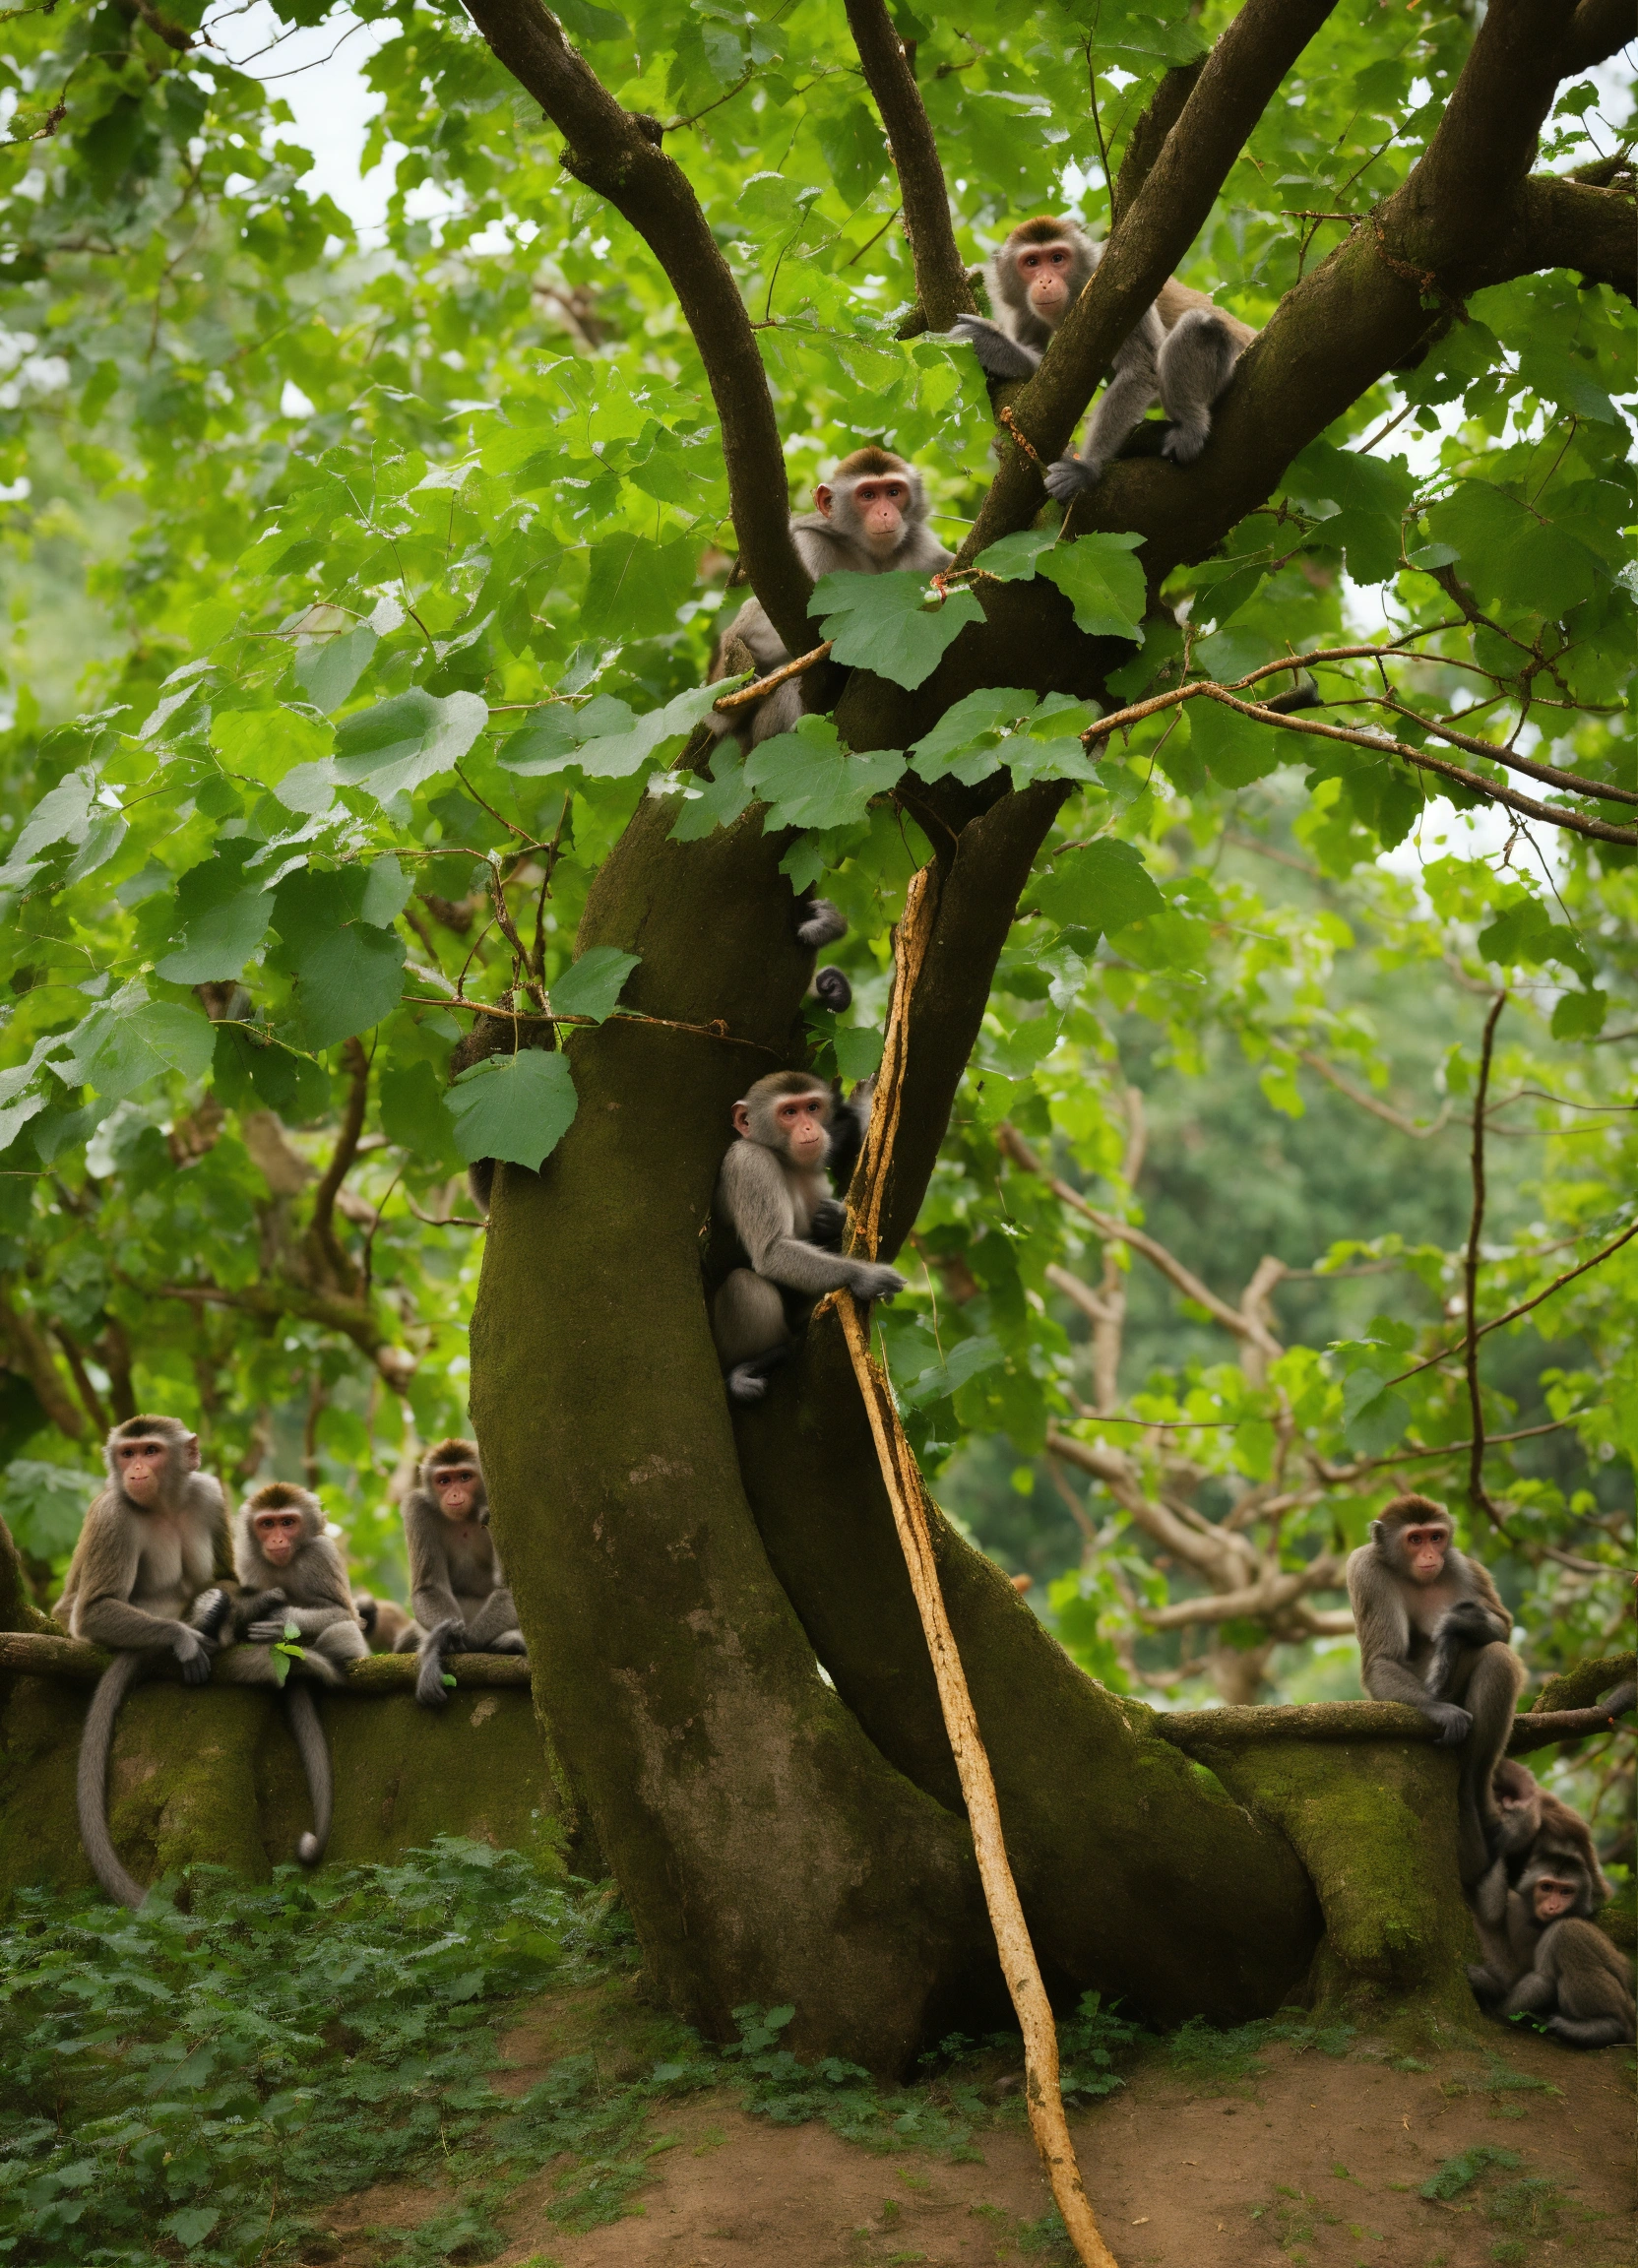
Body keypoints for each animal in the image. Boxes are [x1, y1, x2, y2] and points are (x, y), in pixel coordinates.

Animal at [55, 1415, 231, 1910]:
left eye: (150, 1451)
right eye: (127, 1453)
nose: (135, 1470)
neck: (166, 1505)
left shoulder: (209, 1493)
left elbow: (228, 1574)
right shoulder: (114, 1515)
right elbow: (93, 1610)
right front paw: (184, 1637)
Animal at [396, 1439, 526, 1707]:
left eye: (465, 1477)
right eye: (444, 1480)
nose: (454, 1495)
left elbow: (509, 1588)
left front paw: (463, 1642)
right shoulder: (418, 1509)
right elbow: (428, 1588)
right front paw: (437, 1646)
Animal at [710, 1070, 905, 1404]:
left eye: (812, 1108)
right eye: (789, 1112)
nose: (808, 1127)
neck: (786, 1162)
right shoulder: (749, 1161)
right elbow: (772, 1252)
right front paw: (867, 1275)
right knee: (745, 1286)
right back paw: (753, 1365)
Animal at [949, 216, 1256, 502]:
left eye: (1057, 258)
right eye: (1032, 262)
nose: (1045, 282)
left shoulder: (1126, 295)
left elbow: (1141, 369)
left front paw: (1086, 468)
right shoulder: (1025, 308)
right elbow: (1040, 373)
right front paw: (991, 343)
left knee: (1200, 325)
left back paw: (1190, 427)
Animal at [1344, 1493, 1524, 1888]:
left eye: (1436, 1537)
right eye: (1415, 1539)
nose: (1430, 1556)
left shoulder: (1459, 1565)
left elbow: (1503, 1626)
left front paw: (1455, 1626)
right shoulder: (1366, 1570)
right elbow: (1382, 1659)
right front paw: (1439, 1710)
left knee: (1497, 1656)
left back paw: (1474, 1787)